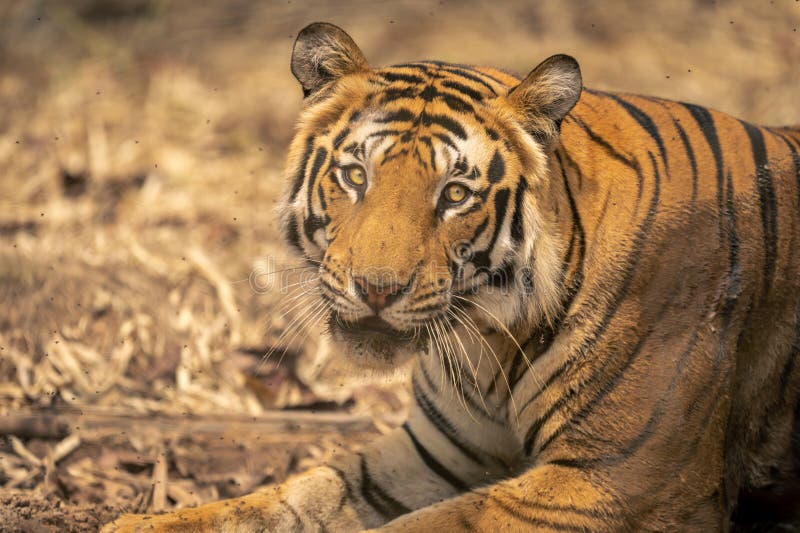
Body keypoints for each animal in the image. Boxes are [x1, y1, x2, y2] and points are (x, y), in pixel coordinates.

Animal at [105, 21, 800, 532]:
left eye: (456, 194)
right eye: (355, 176)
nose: (376, 289)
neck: (489, 342)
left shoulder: (617, 480)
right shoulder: (434, 456)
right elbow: (293, 495)